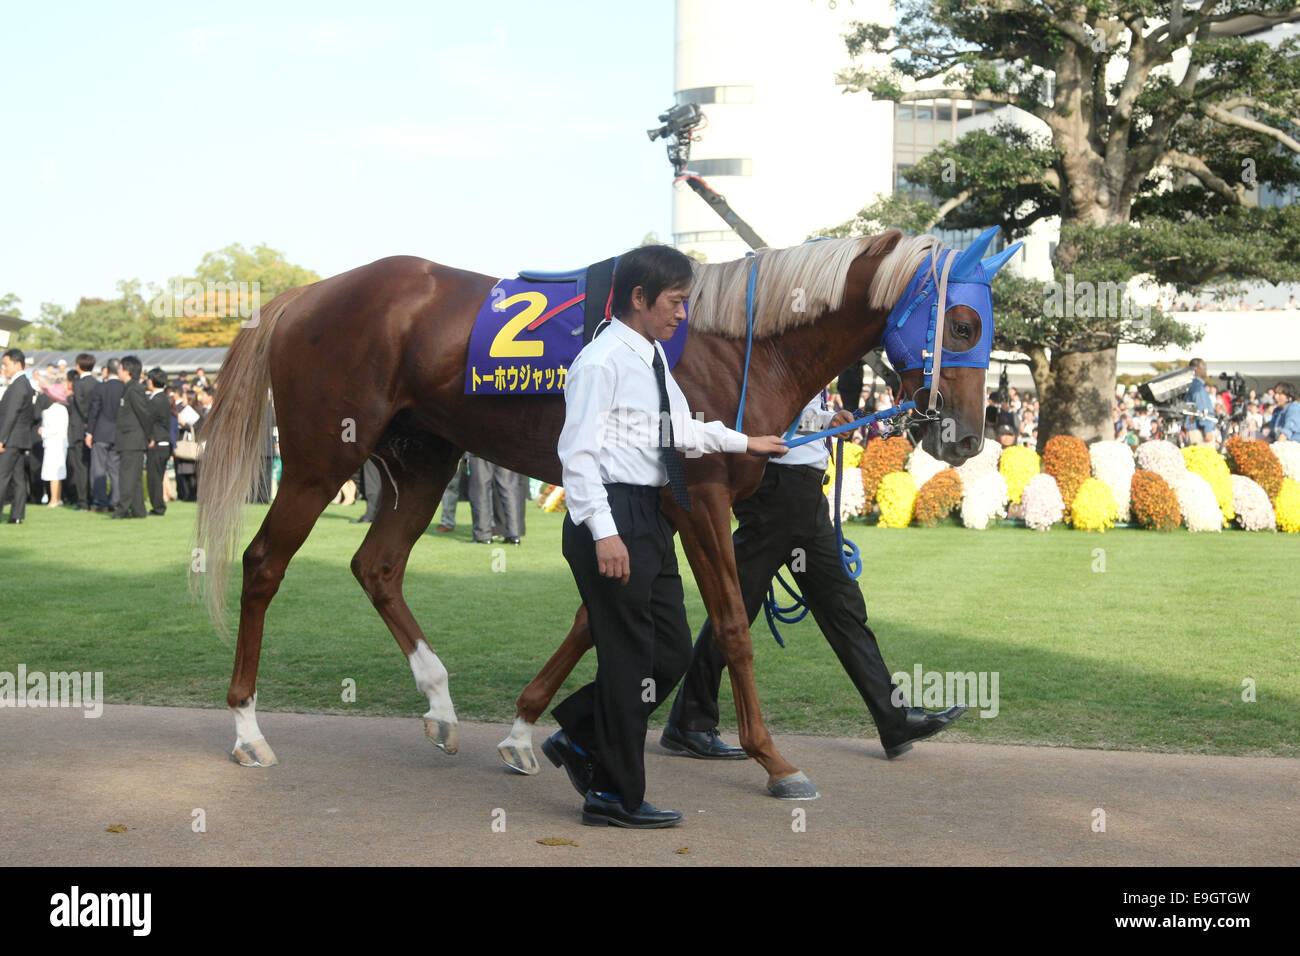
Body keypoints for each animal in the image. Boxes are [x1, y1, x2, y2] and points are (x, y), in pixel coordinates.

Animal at [193, 226, 1017, 800]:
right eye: (965, 324)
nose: (966, 436)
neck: (734, 344)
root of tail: (302, 296)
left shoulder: (648, 505)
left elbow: (597, 616)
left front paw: (527, 729)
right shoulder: (697, 496)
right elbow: (729, 626)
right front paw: (773, 759)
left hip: (423, 458)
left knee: (379, 565)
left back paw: (441, 704)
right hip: (318, 458)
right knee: (263, 564)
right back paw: (246, 726)